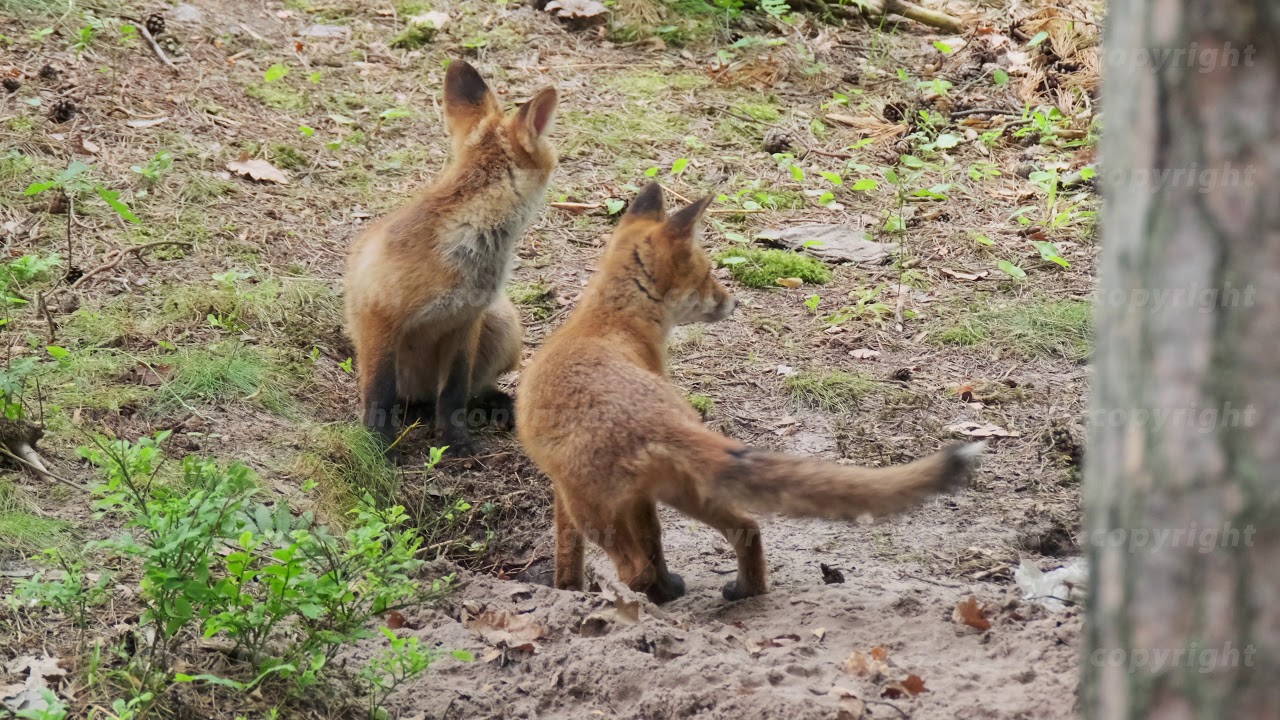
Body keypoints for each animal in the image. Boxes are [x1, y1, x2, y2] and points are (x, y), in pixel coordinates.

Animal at [344, 60, 557, 457]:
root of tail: (420, 397)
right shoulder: (378, 313)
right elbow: (379, 392)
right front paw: (378, 446)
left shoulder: (466, 320)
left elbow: (456, 392)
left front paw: (455, 442)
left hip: (503, 322)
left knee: (471, 389)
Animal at [516, 183, 984, 604]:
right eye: (708, 275)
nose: (734, 302)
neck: (606, 322)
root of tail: (656, 420)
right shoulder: (633, 500)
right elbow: (634, 546)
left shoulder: (566, 493)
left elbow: (570, 551)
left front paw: (567, 592)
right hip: (675, 489)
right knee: (745, 528)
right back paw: (738, 591)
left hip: (603, 508)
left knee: (636, 568)